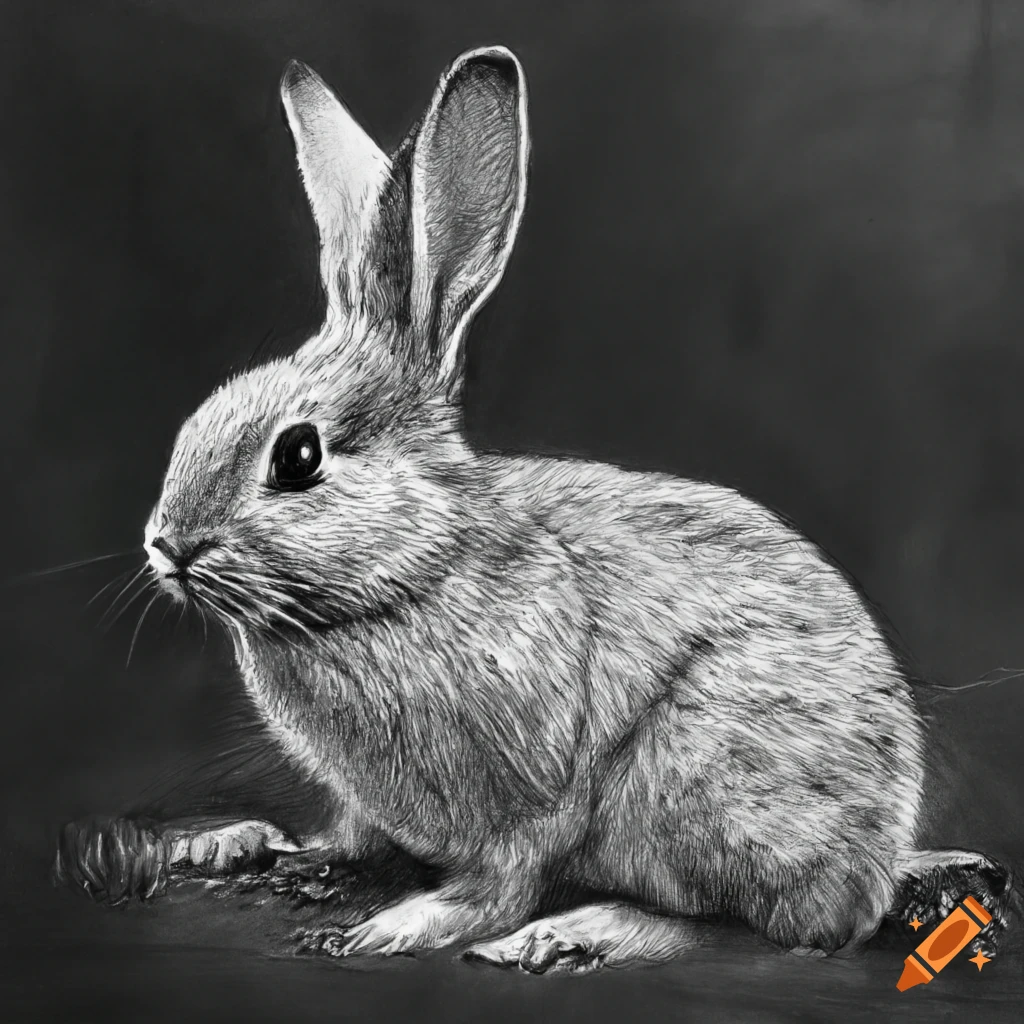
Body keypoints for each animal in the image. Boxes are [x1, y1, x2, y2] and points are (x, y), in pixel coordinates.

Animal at [57, 45, 1012, 973]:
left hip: (696, 781)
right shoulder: (369, 805)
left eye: (297, 457)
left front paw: (396, 926)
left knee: (761, 929)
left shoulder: (535, 798)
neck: (413, 574)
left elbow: (501, 885)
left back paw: (569, 936)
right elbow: (349, 839)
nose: (167, 544)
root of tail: (879, 855)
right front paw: (259, 851)